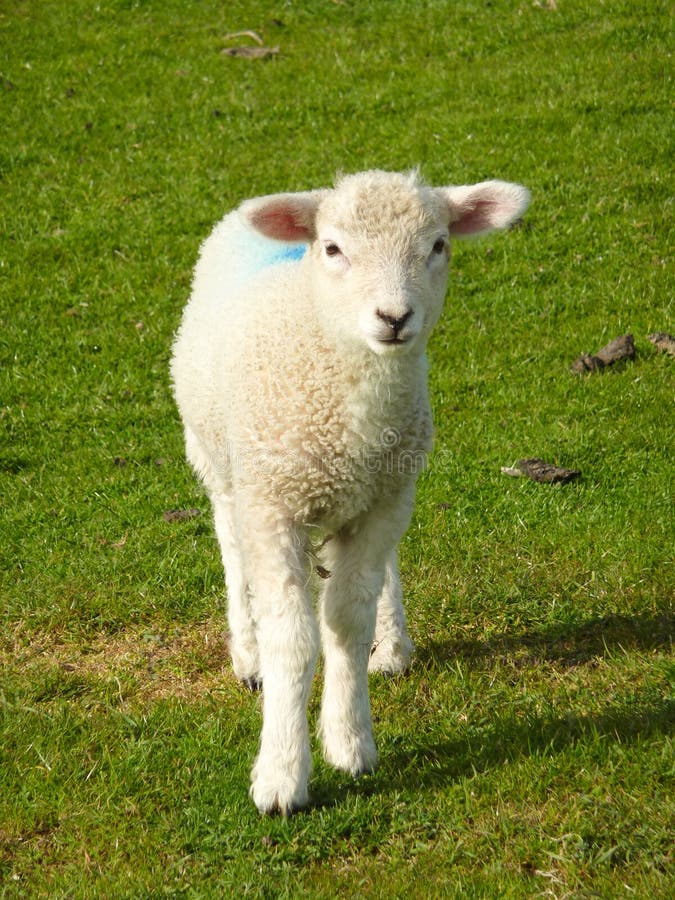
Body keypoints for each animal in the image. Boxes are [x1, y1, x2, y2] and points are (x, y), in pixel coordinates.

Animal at [170, 169, 530, 815]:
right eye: (334, 248)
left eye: (439, 245)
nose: (394, 317)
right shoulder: (273, 504)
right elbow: (293, 637)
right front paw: (281, 776)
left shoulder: (385, 499)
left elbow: (346, 619)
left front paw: (349, 741)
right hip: (218, 459)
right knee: (231, 545)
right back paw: (248, 654)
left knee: (382, 571)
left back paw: (392, 645)